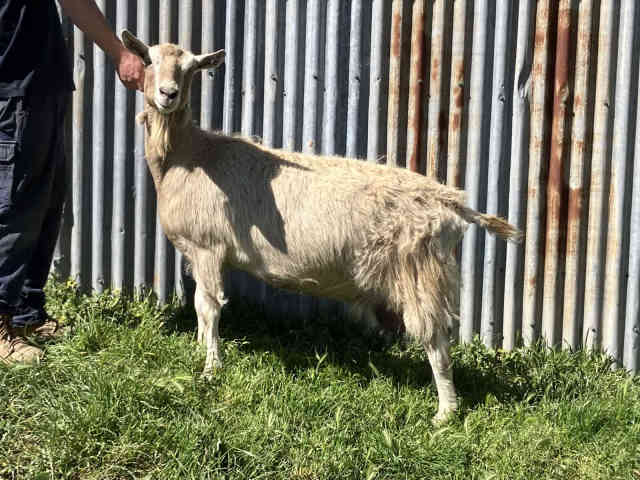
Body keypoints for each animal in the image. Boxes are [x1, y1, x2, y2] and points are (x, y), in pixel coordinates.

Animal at [121, 30, 522, 424]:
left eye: (192, 69)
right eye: (149, 60)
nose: (168, 94)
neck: (191, 154)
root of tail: (451, 201)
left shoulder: (208, 247)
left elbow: (208, 307)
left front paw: (210, 369)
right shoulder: (197, 251)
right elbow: (199, 308)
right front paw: (199, 348)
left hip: (419, 269)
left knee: (435, 339)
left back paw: (445, 412)